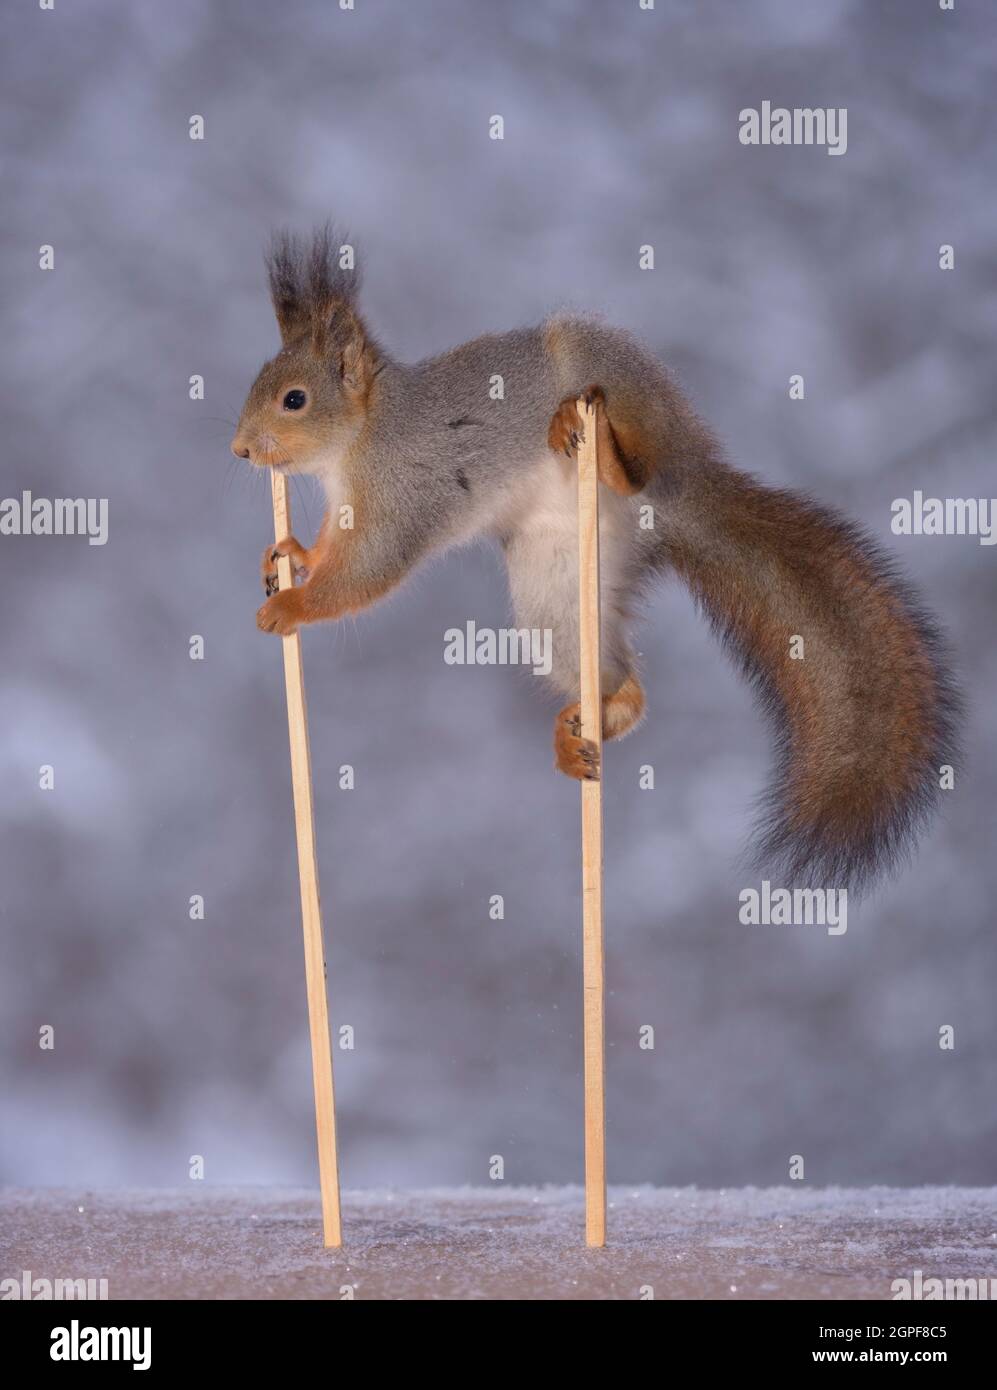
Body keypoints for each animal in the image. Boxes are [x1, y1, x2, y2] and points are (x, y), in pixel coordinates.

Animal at [232, 226, 960, 894]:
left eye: (294, 399)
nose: (238, 450)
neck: (357, 440)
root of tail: (679, 497)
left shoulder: (401, 497)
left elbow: (365, 573)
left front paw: (290, 605)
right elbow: (330, 549)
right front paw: (291, 553)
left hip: (608, 373)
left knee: (638, 466)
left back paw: (601, 449)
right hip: (551, 586)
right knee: (623, 684)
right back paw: (596, 716)